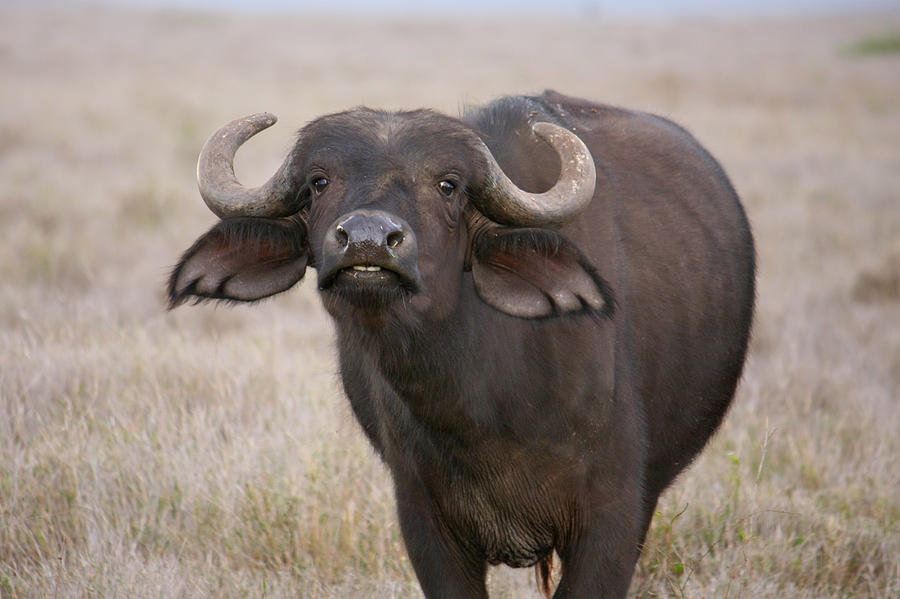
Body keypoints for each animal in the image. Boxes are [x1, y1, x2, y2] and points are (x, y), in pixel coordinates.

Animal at [168, 90, 755, 598]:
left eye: (448, 185)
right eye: (318, 182)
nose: (367, 240)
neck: (485, 405)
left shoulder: (613, 519)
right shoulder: (424, 521)